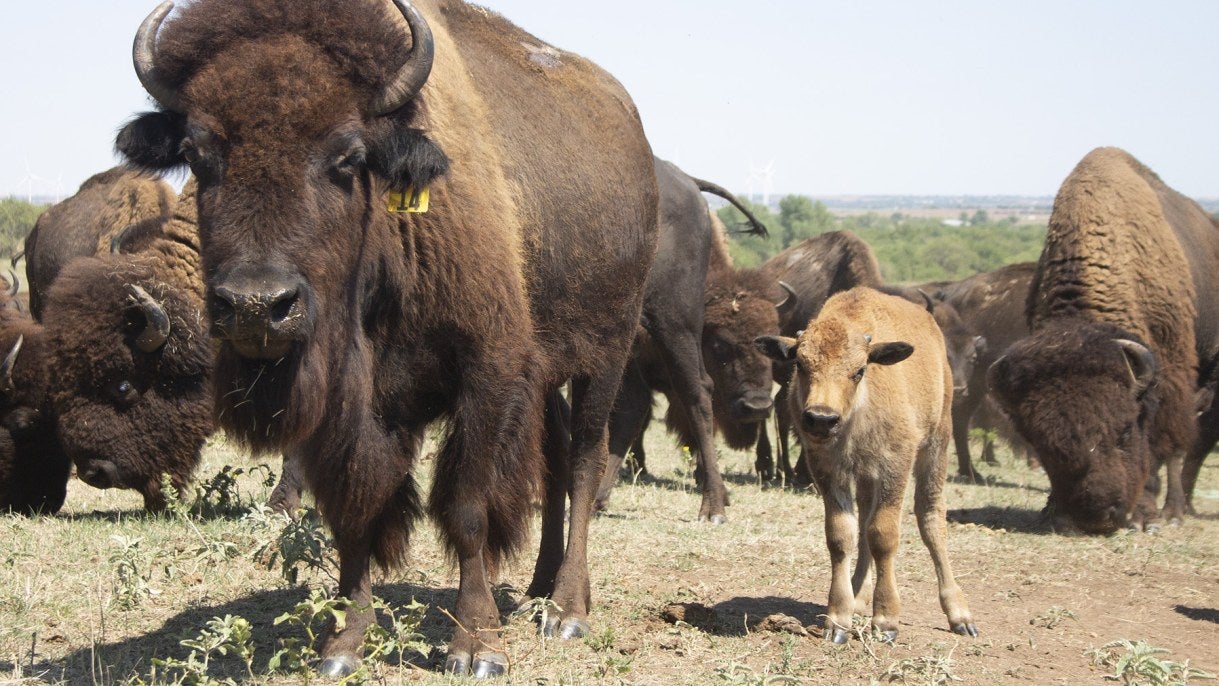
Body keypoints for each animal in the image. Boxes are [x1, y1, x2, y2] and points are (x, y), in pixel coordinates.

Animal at [116, 0, 658, 677]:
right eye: (197, 153)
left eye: (348, 157)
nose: (256, 307)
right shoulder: (345, 409)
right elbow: (355, 515)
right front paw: (344, 645)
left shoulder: (488, 373)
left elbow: (468, 508)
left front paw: (476, 647)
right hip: (550, 374)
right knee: (558, 459)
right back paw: (537, 588)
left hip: (604, 356)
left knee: (584, 460)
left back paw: (566, 611)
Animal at [592, 159, 780, 526]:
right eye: (720, 346)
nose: (757, 406)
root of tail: (686, 179)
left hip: (671, 323)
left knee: (695, 394)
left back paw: (713, 508)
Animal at [755, 288, 975, 643]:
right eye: (800, 364)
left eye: (859, 370)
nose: (821, 418)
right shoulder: (829, 470)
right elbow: (842, 534)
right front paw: (838, 619)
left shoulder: (895, 465)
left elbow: (883, 534)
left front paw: (885, 621)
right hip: (866, 478)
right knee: (864, 524)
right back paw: (858, 597)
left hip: (936, 444)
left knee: (930, 518)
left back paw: (960, 615)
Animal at [989, 149, 1219, 536]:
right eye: (1043, 446)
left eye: (1124, 431)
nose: (1096, 517)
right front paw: (1054, 510)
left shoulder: (1171, 376)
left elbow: (1161, 446)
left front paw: (1145, 517)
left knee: (1181, 446)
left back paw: (1174, 510)